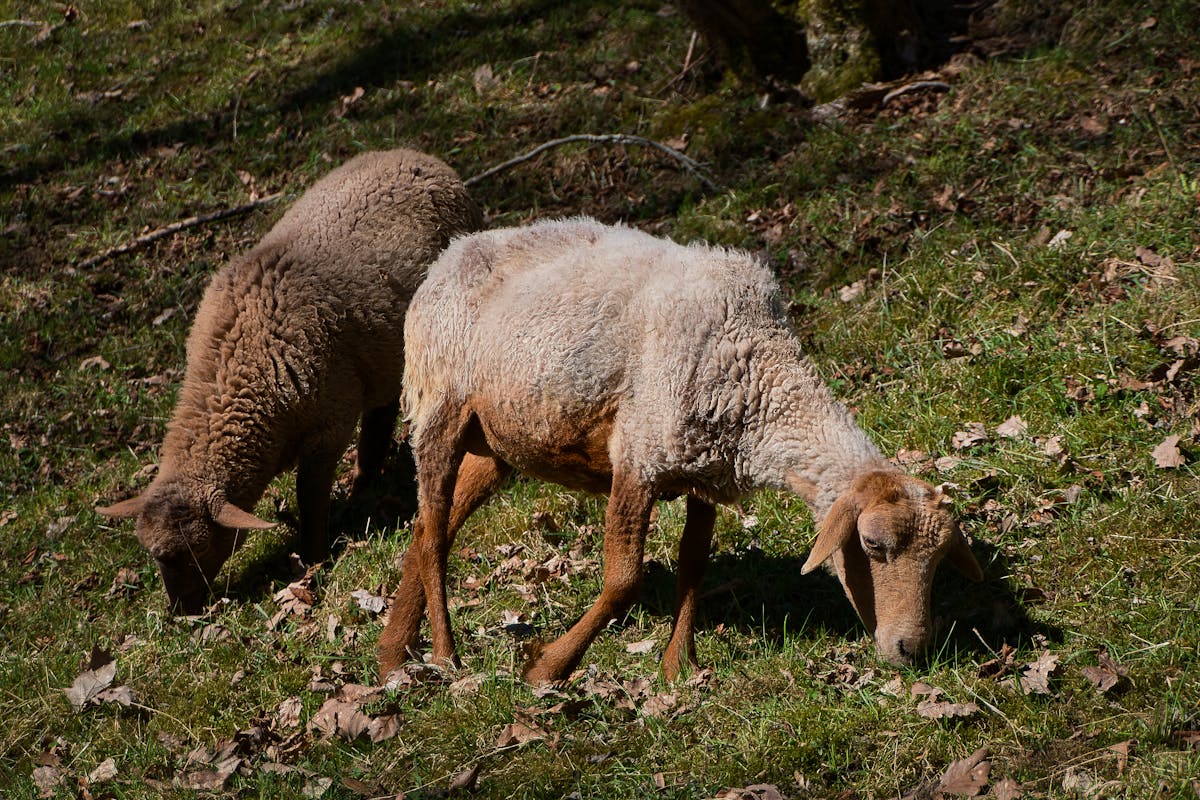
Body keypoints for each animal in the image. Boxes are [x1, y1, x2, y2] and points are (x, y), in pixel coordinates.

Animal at [97, 148, 482, 615]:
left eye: (197, 548)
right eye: (153, 553)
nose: (180, 612)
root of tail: (421, 157)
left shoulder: (329, 421)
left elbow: (309, 492)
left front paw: (314, 553)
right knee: (383, 406)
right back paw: (367, 477)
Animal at [376, 216, 984, 684]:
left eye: (939, 562)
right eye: (874, 544)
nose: (912, 651)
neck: (754, 365)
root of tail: (449, 254)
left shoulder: (703, 471)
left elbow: (694, 566)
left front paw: (677, 668)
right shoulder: (639, 456)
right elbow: (623, 581)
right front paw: (547, 668)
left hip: (497, 442)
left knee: (428, 526)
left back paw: (392, 656)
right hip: (439, 405)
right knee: (432, 535)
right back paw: (445, 654)